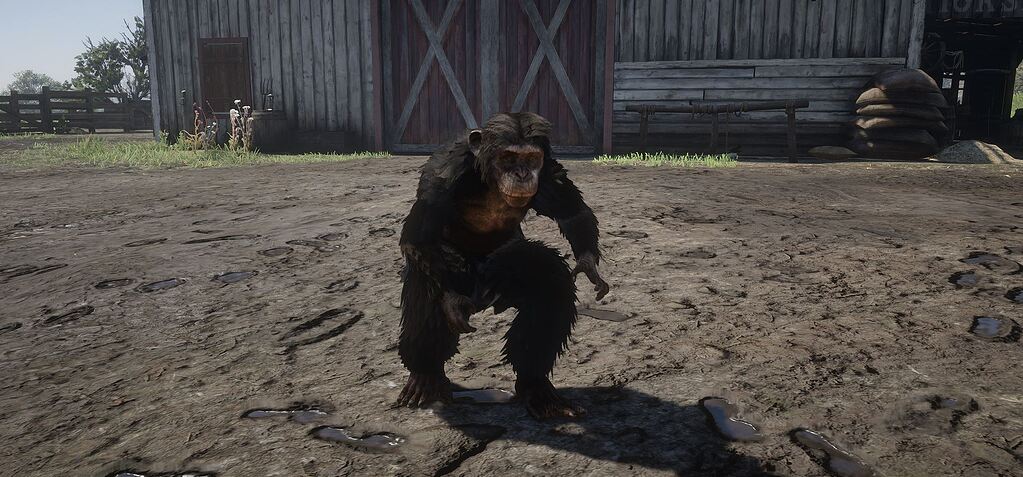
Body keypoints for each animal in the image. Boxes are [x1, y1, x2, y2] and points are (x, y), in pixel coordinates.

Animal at [396, 112, 609, 420]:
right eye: (508, 158)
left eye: (531, 159)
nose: (522, 174)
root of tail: (484, 299)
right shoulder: (443, 175)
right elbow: (419, 240)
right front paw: (451, 302)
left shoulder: (547, 172)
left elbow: (571, 211)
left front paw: (588, 265)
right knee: (426, 284)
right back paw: (426, 375)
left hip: (499, 277)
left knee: (549, 281)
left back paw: (537, 387)